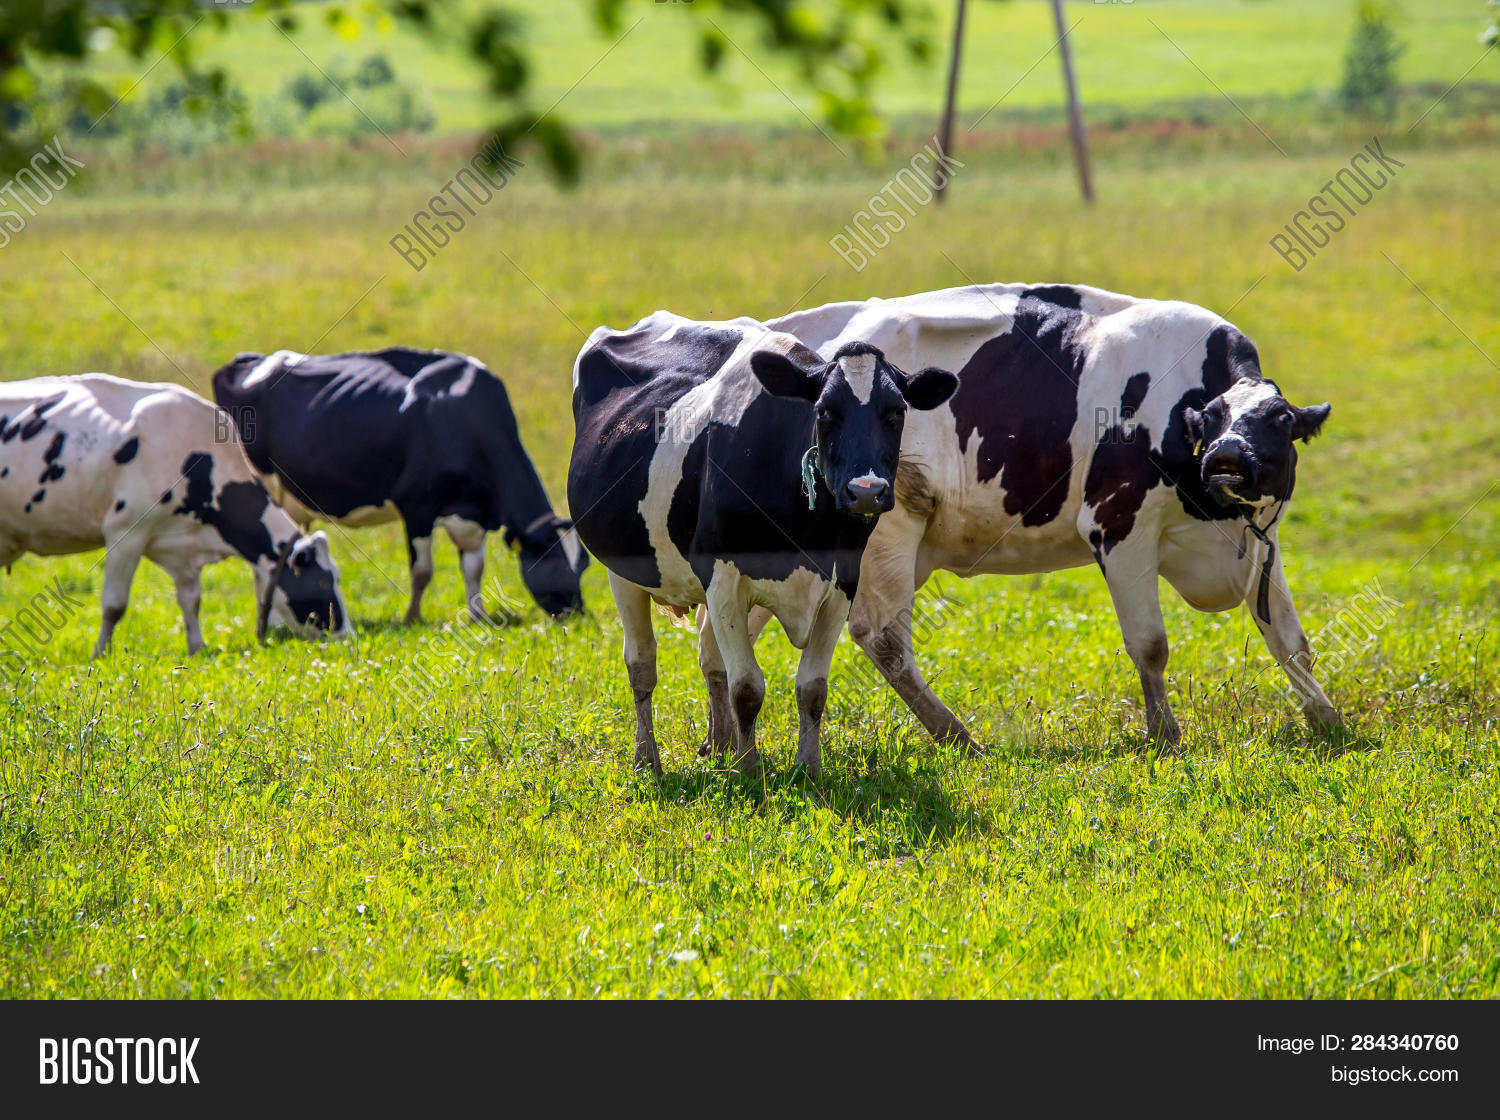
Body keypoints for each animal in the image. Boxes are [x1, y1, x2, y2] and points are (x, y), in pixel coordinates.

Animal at [0, 375, 351, 656]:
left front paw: (198, 648)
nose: (347, 636)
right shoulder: (125, 533)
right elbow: (114, 605)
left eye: (337, 576)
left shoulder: (181, 546)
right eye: (323, 582)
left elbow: (191, 600)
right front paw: (100, 653)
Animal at [212, 347, 588, 623]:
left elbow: (473, 567)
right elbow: (422, 571)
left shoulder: (471, 514)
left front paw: (478, 615)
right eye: (554, 564)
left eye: (583, 564)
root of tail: (251, 359)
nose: (578, 614)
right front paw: (412, 617)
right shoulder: (417, 507)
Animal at [568, 312, 957, 776]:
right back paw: (648, 757)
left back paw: (720, 745)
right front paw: (749, 771)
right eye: (825, 411)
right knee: (642, 664)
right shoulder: (722, 578)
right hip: (623, 568)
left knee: (710, 660)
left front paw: (807, 769)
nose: (866, 491)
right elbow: (748, 688)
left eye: (896, 412)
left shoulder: (843, 583)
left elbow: (812, 688)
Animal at [752, 281, 1340, 750]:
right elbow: (1150, 645)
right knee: (883, 638)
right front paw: (1166, 735)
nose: (1226, 458)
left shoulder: (1262, 542)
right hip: (888, 528)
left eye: (1281, 420)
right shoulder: (1118, 527)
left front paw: (1328, 720)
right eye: (1211, 417)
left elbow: (1290, 642)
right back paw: (958, 736)